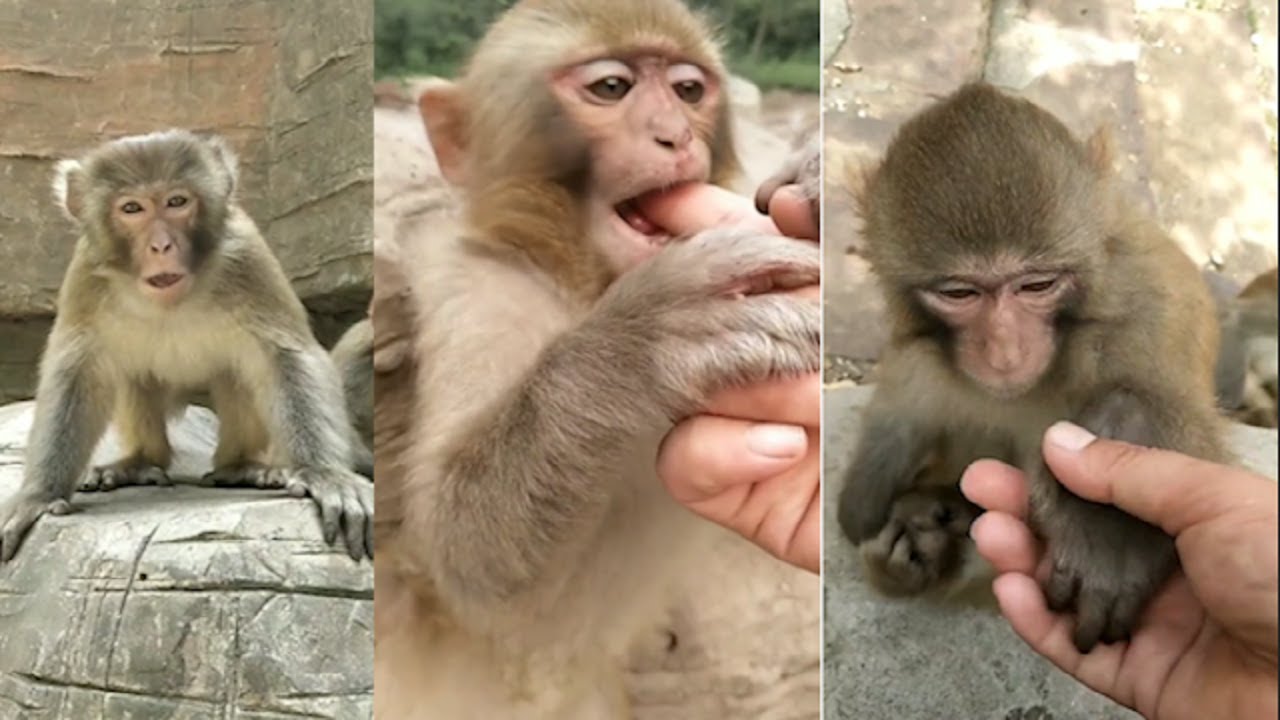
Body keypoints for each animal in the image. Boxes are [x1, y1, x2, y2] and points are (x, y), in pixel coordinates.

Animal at [0, 130, 373, 562]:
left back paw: (241, 467)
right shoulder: (86, 274)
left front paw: (325, 475)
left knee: (238, 373)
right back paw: (140, 463)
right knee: (131, 376)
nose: (161, 246)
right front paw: (39, 494)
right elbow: (78, 373)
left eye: (177, 202)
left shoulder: (246, 256)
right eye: (132, 208)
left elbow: (284, 357)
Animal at [372, 1, 820, 718]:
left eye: (688, 90)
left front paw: (819, 174)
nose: (674, 136)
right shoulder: (477, 286)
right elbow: (469, 557)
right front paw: (648, 338)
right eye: (612, 88)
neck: (587, 284)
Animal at [835, 83, 1228, 653]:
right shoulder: (918, 347)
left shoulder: (1149, 309)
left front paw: (1109, 530)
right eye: (959, 293)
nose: (1005, 352)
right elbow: (866, 490)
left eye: (1038, 285)